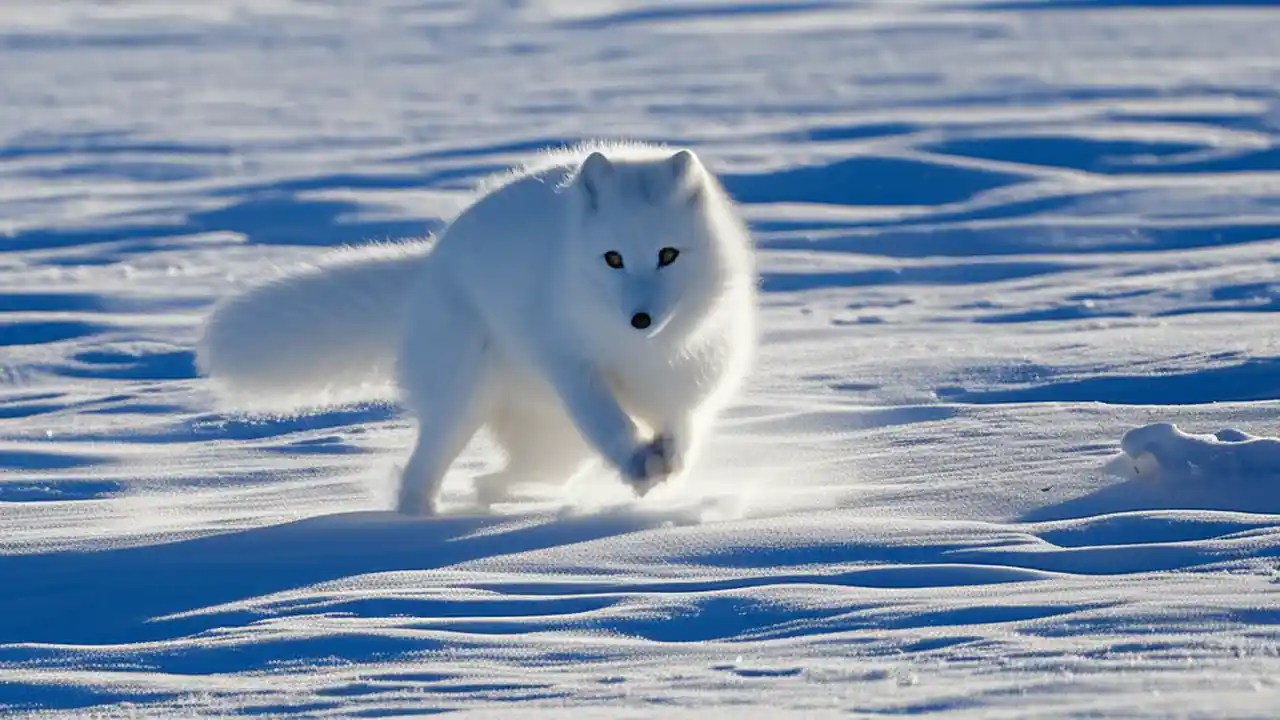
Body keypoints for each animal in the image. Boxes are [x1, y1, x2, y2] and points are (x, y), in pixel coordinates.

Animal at [198, 143, 758, 515]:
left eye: (668, 254)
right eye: (613, 258)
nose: (640, 319)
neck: (642, 353)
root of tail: (429, 264)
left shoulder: (690, 382)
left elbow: (684, 431)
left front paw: (663, 465)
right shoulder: (569, 366)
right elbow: (608, 422)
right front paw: (638, 463)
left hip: (551, 443)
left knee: (517, 471)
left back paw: (495, 494)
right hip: (464, 398)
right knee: (422, 467)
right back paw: (418, 517)